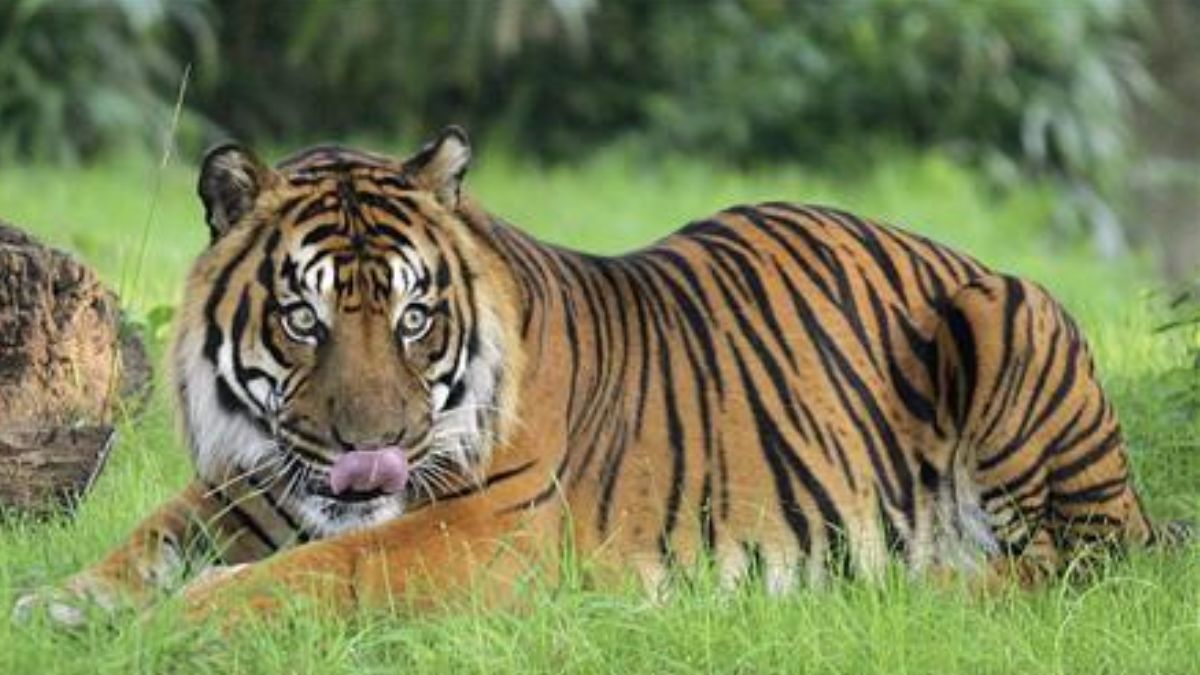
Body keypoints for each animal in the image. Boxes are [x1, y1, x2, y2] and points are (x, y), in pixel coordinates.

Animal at [14, 126, 1176, 626]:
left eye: (414, 318)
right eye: (305, 319)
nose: (370, 454)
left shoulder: (486, 533)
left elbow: (317, 571)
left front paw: (180, 620)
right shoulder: (249, 482)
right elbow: (141, 546)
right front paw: (51, 602)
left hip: (1010, 317)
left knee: (1076, 560)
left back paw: (919, 578)